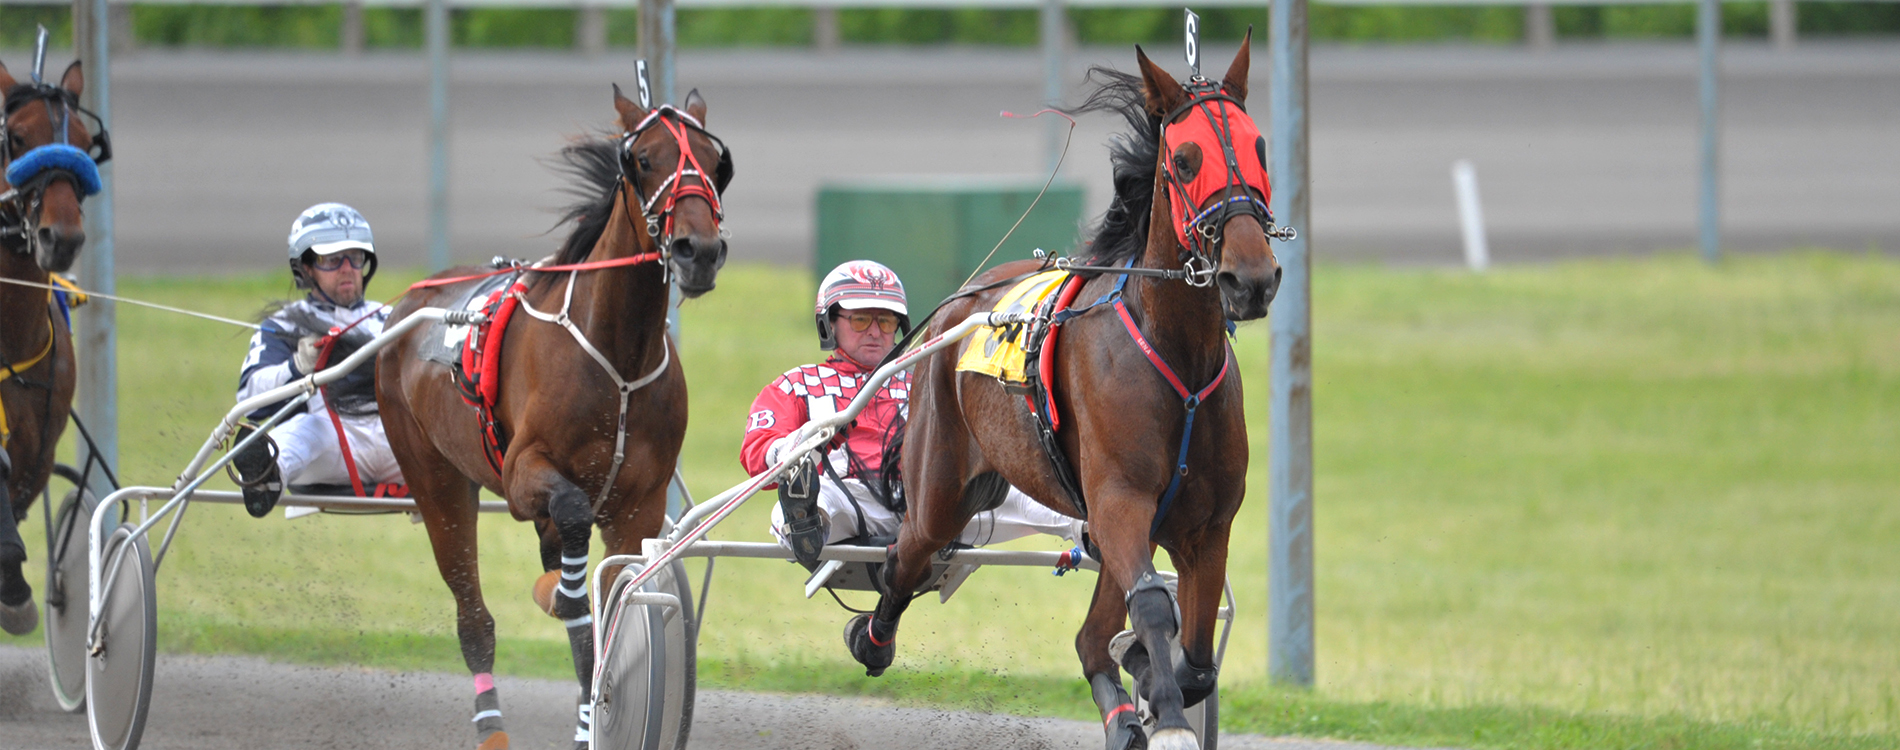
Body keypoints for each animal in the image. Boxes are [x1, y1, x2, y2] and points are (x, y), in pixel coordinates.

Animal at [377, 86, 730, 750]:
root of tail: (411, 299)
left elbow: (616, 605)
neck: (617, 356)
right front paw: (560, 596)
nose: (698, 251)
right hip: (436, 481)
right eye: (643, 159)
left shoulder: (638, 506)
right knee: (474, 617)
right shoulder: (522, 476)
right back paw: (493, 722)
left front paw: (604, 697)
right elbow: (568, 514)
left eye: (715, 162)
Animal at [842, 39, 1279, 750]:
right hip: (940, 487)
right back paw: (871, 637)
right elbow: (1151, 607)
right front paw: (1164, 708)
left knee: (1089, 638)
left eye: (1261, 147)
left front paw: (1152, 681)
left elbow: (1196, 658)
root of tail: (963, 299)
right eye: (1186, 159)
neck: (1177, 360)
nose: (1252, 279)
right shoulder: (1120, 501)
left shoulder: (1206, 526)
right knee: (906, 556)